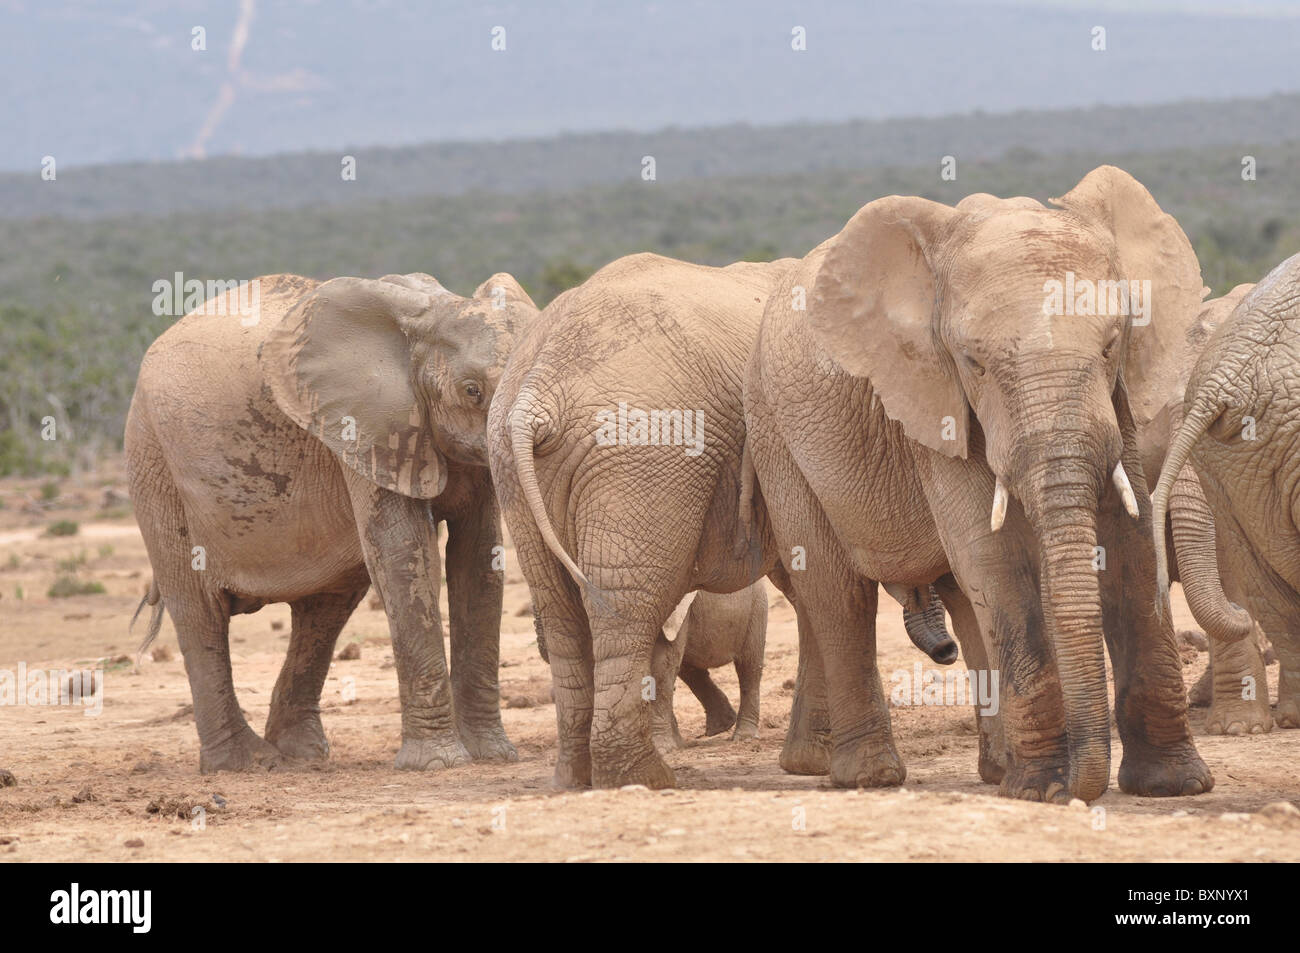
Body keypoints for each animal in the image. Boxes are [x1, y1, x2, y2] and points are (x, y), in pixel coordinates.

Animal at [125, 271, 537, 773]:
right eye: (472, 390)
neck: (434, 314)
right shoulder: (362, 426)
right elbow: (405, 553)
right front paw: (440, 765)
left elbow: (478, 558)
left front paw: (493, 756)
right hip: (153, 463)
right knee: (199, 611)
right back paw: (247, 764)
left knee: (327, 607)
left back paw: (300, 755)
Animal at [742, 166, 1213, 802]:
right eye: (974, 362)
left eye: (1112, 344)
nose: (1080, 788)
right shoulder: (933, 395)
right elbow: (994, 555)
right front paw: (1043, 791)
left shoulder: (1119, 404)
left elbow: (1130, 542)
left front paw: (1174, 785)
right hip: (776, 434)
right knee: (838, 592)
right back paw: (871, 776)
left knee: (962, 601)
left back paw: (997, 769)